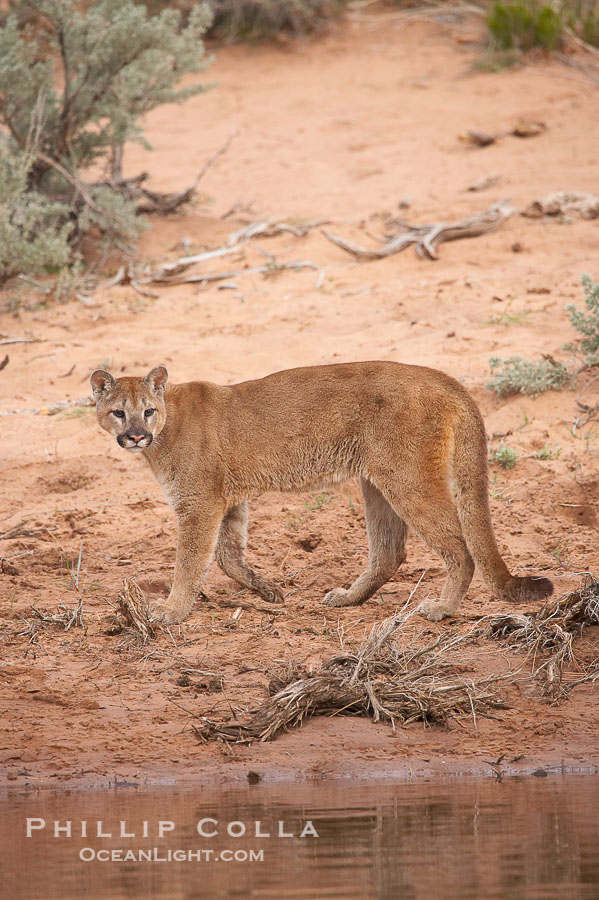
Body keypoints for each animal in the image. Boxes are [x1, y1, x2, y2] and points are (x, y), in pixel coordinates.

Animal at [90, 361, 553, 624]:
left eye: (147, 411)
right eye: (119, 412)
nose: (136, 436)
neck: (166, 429)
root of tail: (445, 378)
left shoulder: (200, 503)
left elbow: (190, 563)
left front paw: (169, 612)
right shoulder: (228, 500)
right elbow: (227, 556)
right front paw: (268, 591)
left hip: (407, 479)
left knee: (459, 547)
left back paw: (440, 609)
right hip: (377, 481)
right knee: (389, 552)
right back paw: (348, 598)